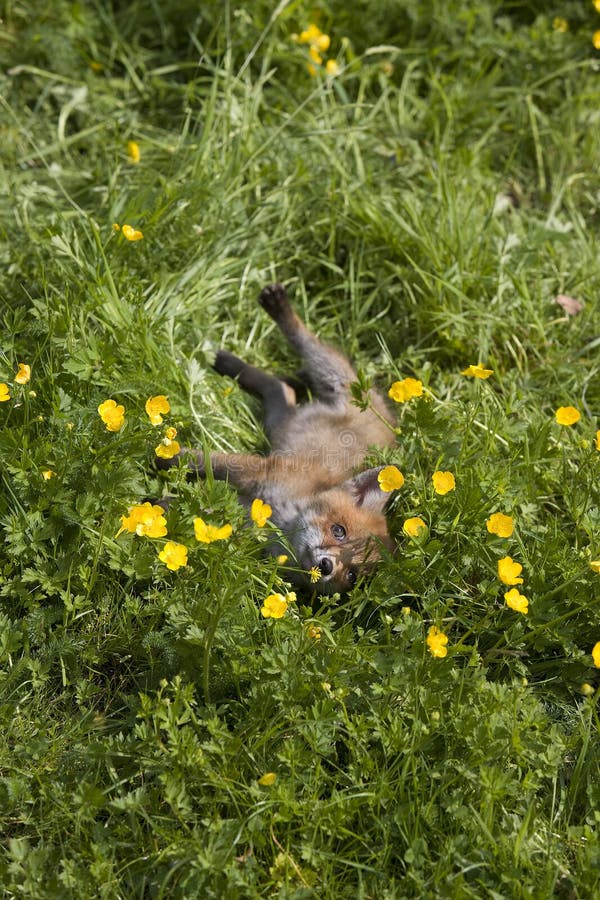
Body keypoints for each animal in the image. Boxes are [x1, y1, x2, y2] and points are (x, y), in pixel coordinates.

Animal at [158, 283, 397, 593]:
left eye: (351, 575)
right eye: (338, 531)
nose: (326, 566)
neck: (283, 519)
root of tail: (388, 418)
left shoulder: (246, 514)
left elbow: (203, 513)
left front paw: (158, 508)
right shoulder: (262, 472)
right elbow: (200, 460)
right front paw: (158, 456)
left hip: (278, 422)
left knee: (280, 386)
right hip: (331, 375)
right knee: (299, 352)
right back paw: (273, 313)